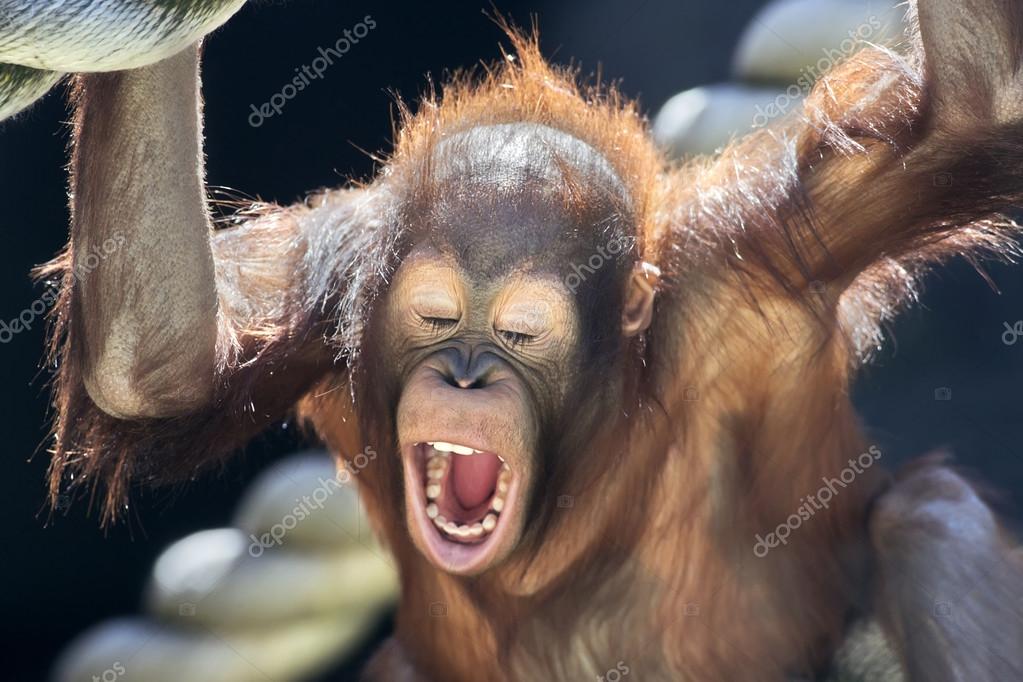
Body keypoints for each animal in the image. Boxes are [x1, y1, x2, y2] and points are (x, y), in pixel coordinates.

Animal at [5, 0, 1023, 679]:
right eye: (435, 316)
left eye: (521, 333)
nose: (463, 375)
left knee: (927, 516)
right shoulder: (334, 281)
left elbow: (978, 106)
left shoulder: (753, 261)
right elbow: (152, 366)